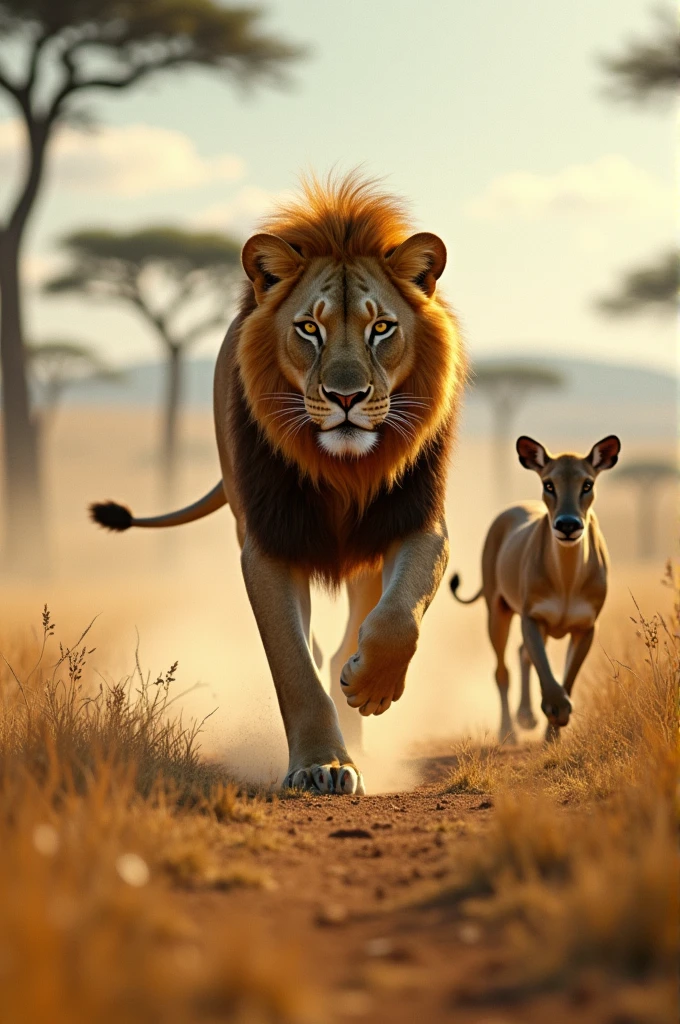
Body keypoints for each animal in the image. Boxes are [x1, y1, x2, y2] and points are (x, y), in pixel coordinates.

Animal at [91, 173, 467, 795]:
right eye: (309, 328)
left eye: (381, 327)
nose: (345, 397)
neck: (343, 471)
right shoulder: (267, 544)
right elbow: (293, 662)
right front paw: (323, 763)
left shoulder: (417, 523)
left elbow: (396, 618)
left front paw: (370, 687)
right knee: (314, 648)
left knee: (354, 630)